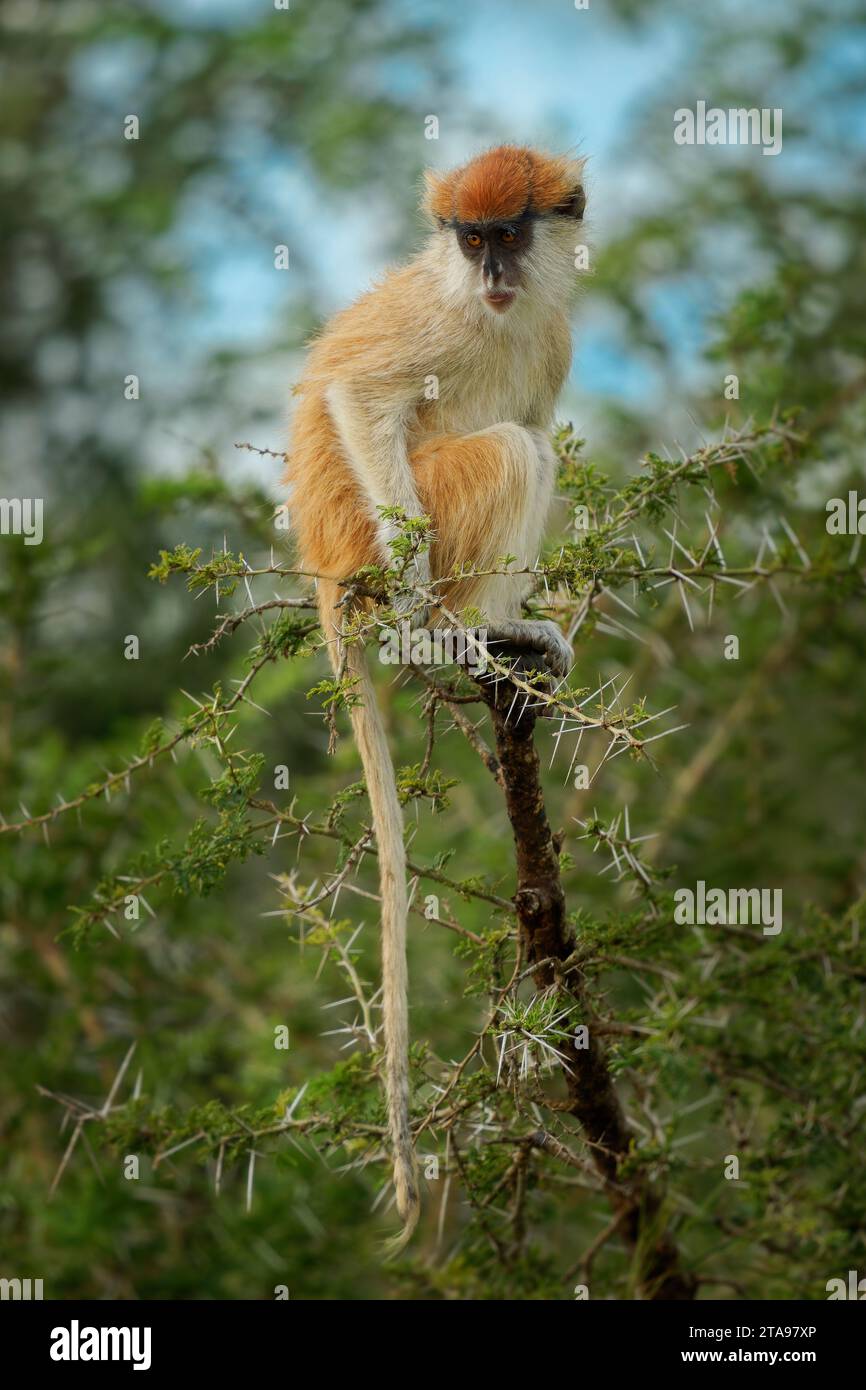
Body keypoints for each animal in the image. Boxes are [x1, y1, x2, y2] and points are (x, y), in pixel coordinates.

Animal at [285, 145, 586, 1250]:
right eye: (470, 237)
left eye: (509, 234)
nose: (492, 270)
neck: (495, 309)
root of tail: (328, 576)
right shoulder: (438, 328)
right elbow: (357, 394)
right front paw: (429, 616)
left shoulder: (549, 331)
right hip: (395, 531)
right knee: (508, 450)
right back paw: (451, 631)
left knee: (527, 443)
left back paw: (509, 637)